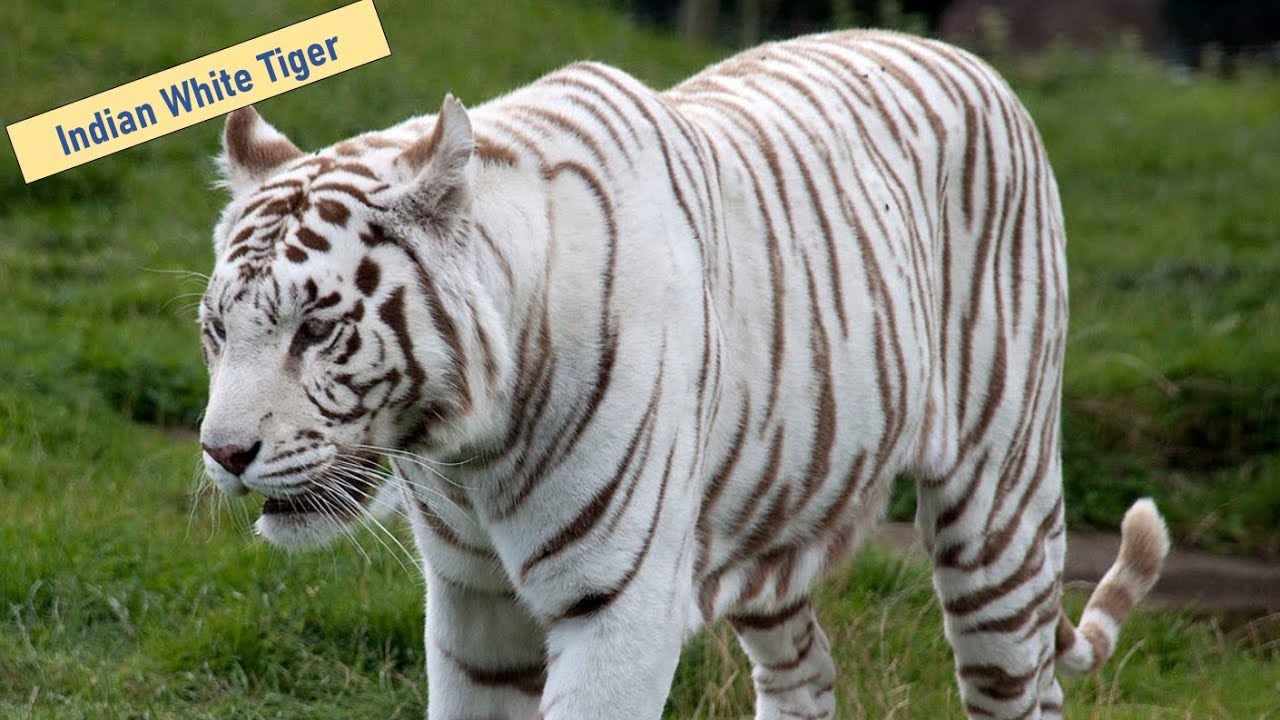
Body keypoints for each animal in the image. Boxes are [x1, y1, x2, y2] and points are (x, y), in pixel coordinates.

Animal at [196, 28, 1170, 720]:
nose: (223, 454)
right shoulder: (473, 603)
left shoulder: (617, 604)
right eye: (215, 332)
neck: (467, 451)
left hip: (996, 509)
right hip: (770, 510)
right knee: (807, 674)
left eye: (316, 328)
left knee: (1024, 683)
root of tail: (973, 61)